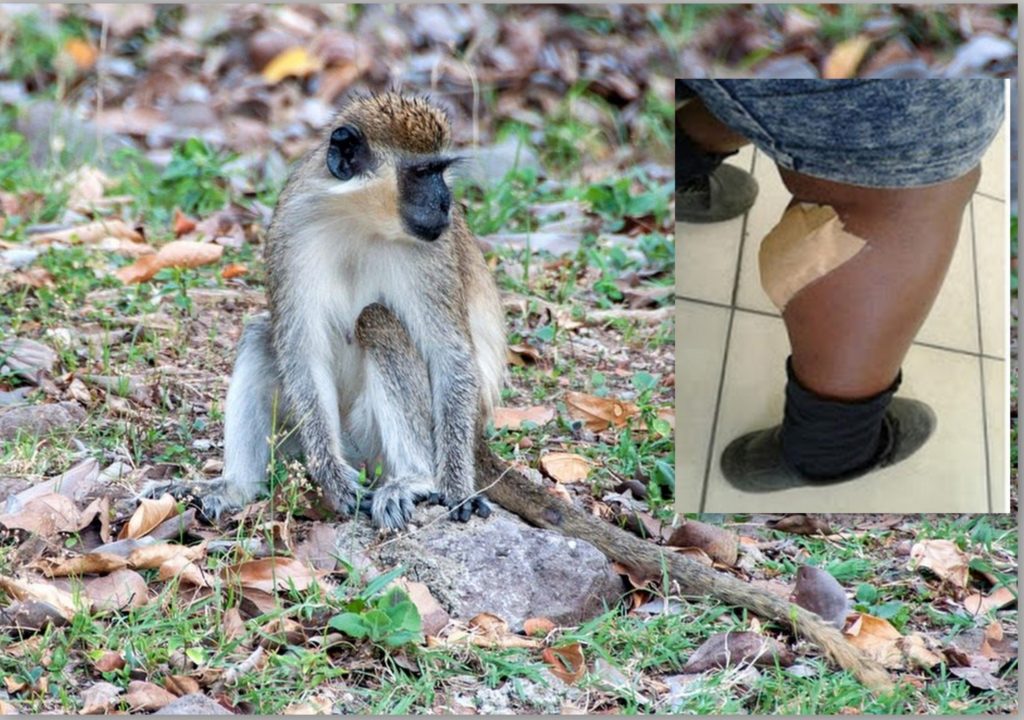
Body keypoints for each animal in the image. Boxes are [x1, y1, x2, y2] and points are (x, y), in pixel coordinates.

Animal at [145, 92, 892, 692]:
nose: (446, 204)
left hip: (398, 435)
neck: (361, 222)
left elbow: (448, 355)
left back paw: (413, 480)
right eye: (421, 173)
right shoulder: (292, 226)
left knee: (380, 322)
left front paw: (447, 490)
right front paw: (328, 481)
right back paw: (242, 486)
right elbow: (296, 344)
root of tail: (477, 438)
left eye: (442, 172)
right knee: (263, 333)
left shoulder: (431, 254)